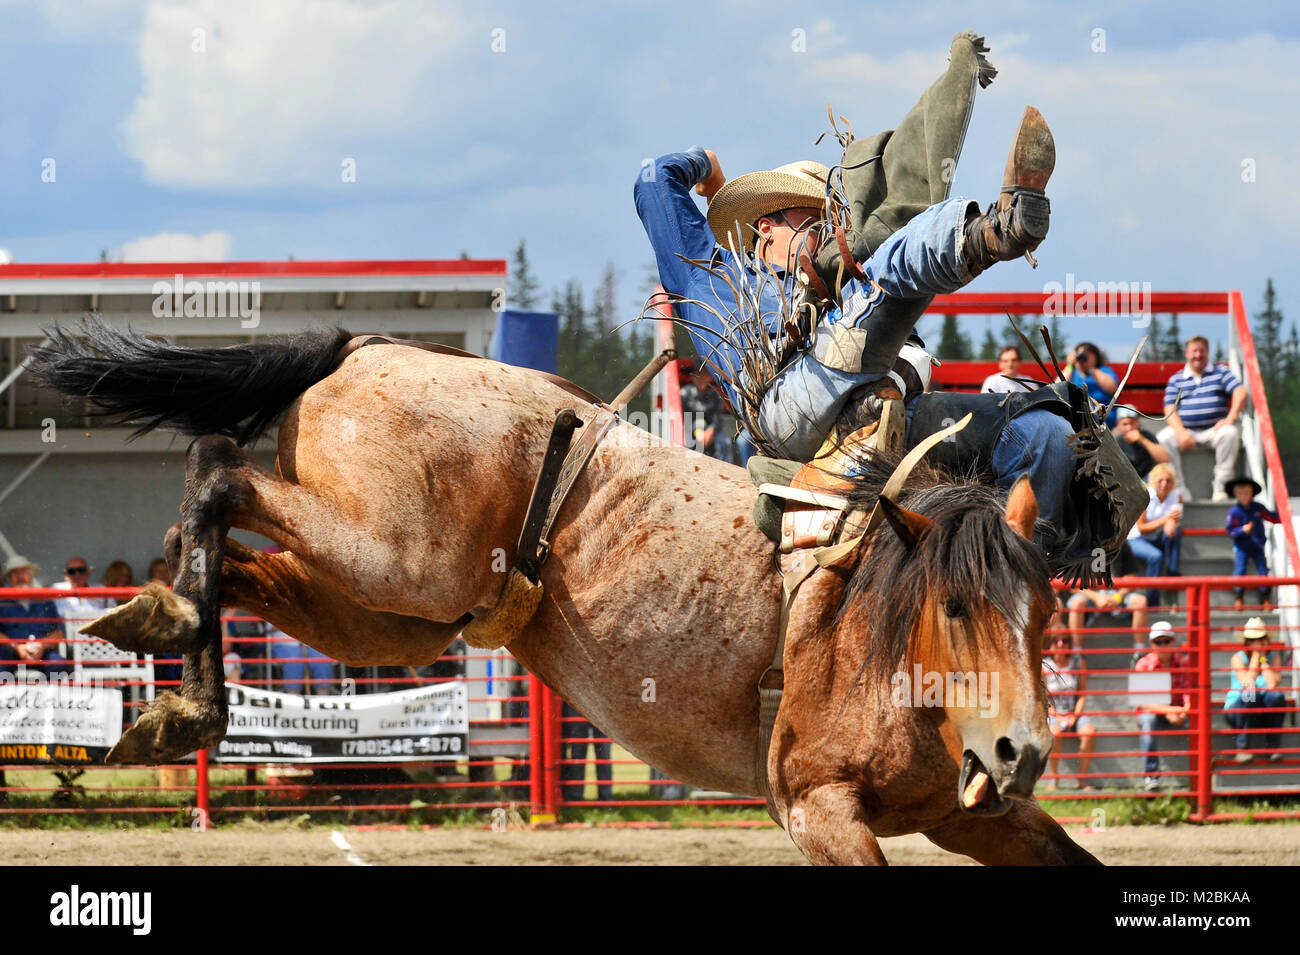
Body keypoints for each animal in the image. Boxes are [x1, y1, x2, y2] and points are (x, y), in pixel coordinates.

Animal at [26, 322, 1098, 865]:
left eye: (1044, 614)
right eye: (956, 609)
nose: (1023, 750)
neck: (875, 622)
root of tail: (361, 348)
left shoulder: (971, 814)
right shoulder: (819, 808)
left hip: (389, 611)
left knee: (224, 550)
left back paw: (167, 657)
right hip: (391, 556)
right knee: (216, 468)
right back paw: (179, 656)